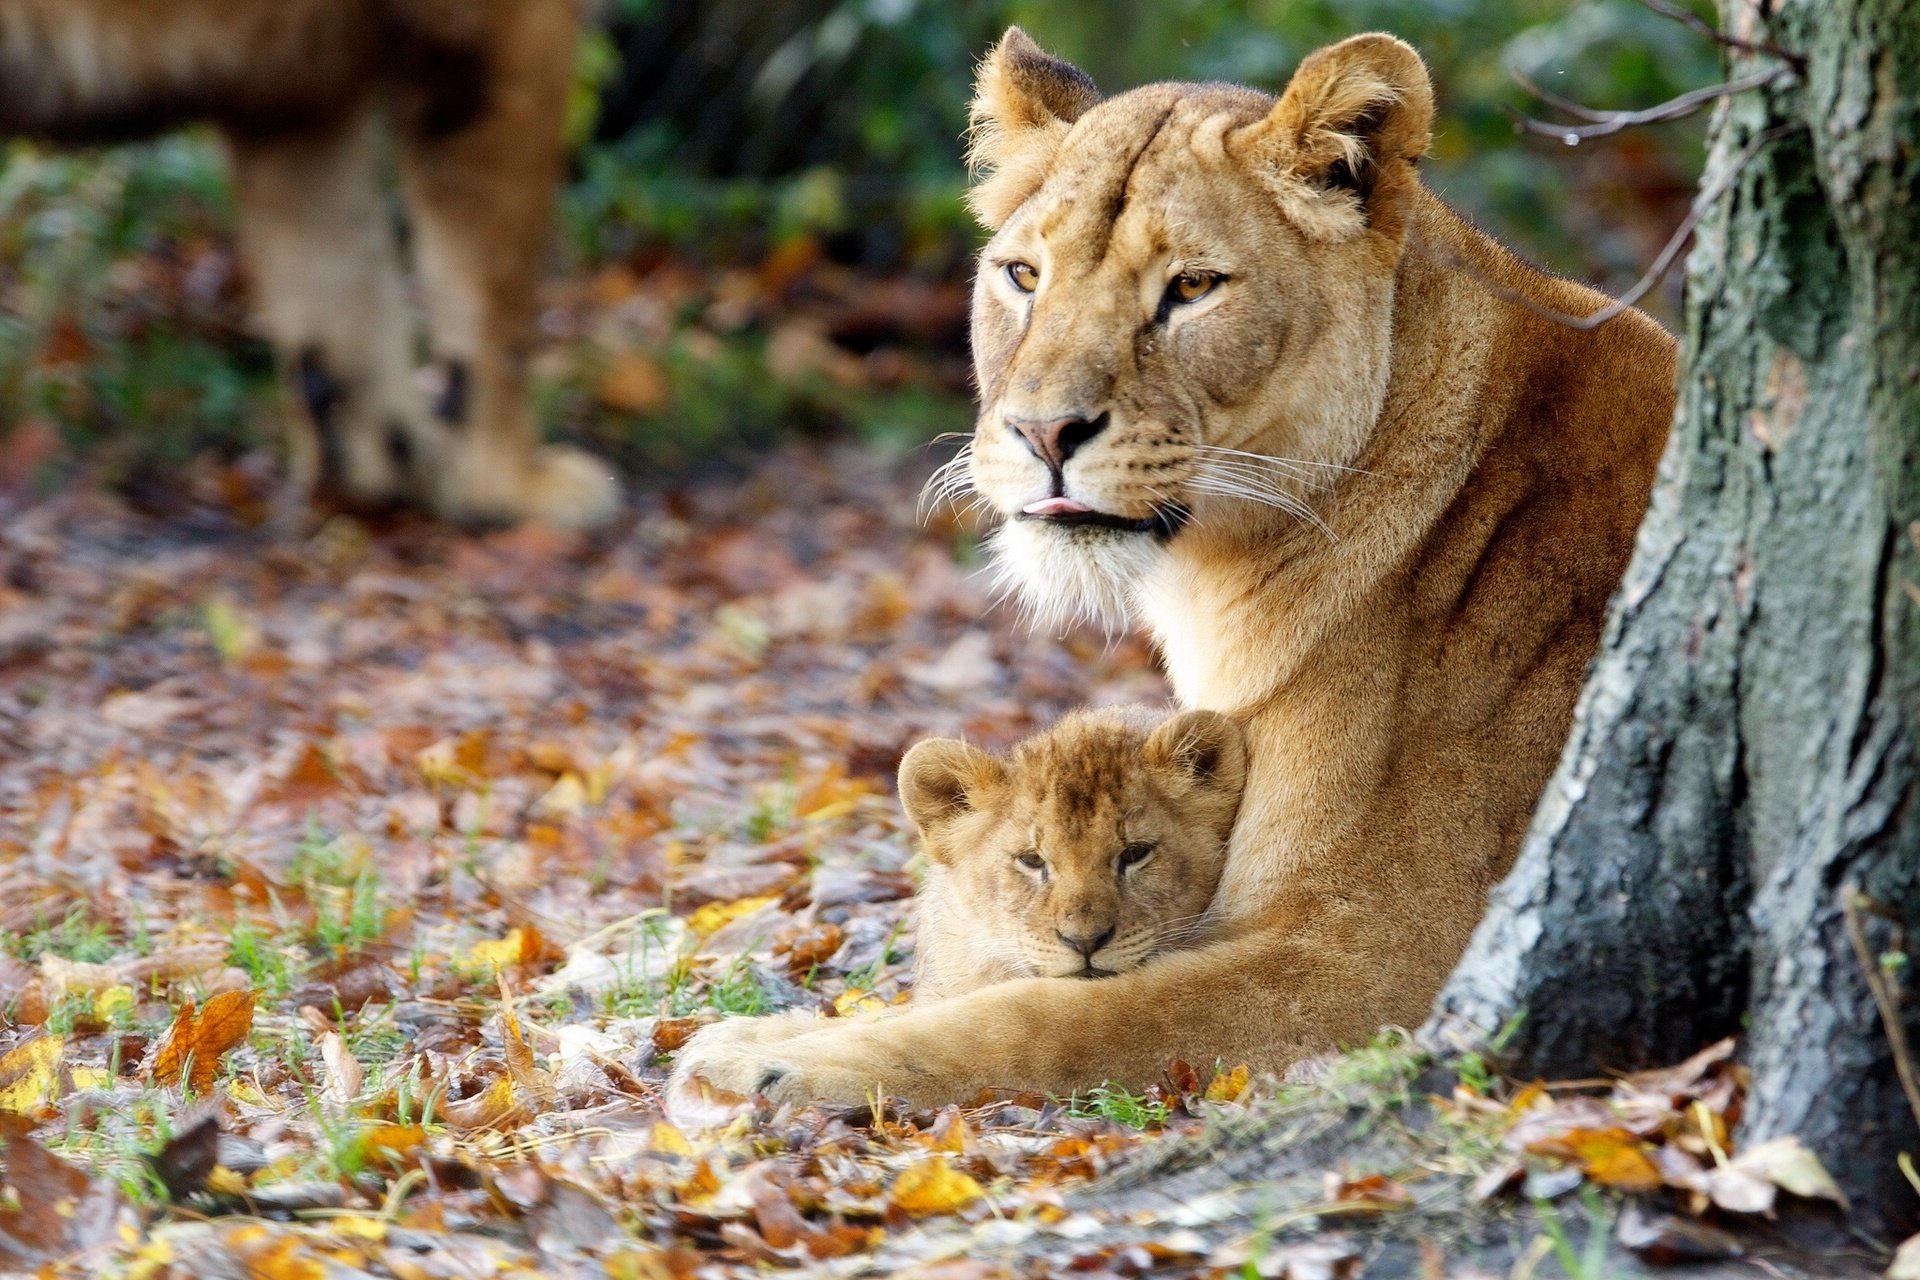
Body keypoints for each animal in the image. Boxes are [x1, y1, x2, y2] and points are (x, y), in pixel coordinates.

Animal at [0, 0, 619, 528]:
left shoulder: (293, 101)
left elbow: (338, 297)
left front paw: (378, 471)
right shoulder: (496, 30)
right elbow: (495, 301)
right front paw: (514, 487)